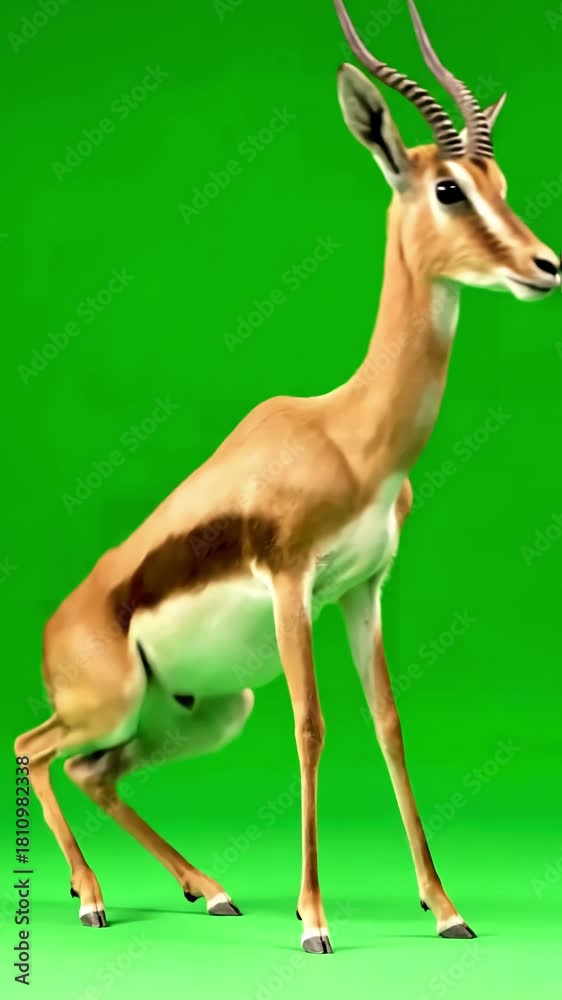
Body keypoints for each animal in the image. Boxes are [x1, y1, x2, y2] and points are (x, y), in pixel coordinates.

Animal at [15, 0, 560, 956]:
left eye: (498, 180)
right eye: (447, 188)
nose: (547, 267)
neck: (351, 435)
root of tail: (57, 631)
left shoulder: (363, 587)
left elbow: (389, 727)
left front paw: (447, 909)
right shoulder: (289, 580)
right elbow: (311, 726)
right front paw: (314, 923)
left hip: (204, 712)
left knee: (92, 771)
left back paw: (209, 891)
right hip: (108, 701)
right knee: (31, 748)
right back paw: (92, 901)